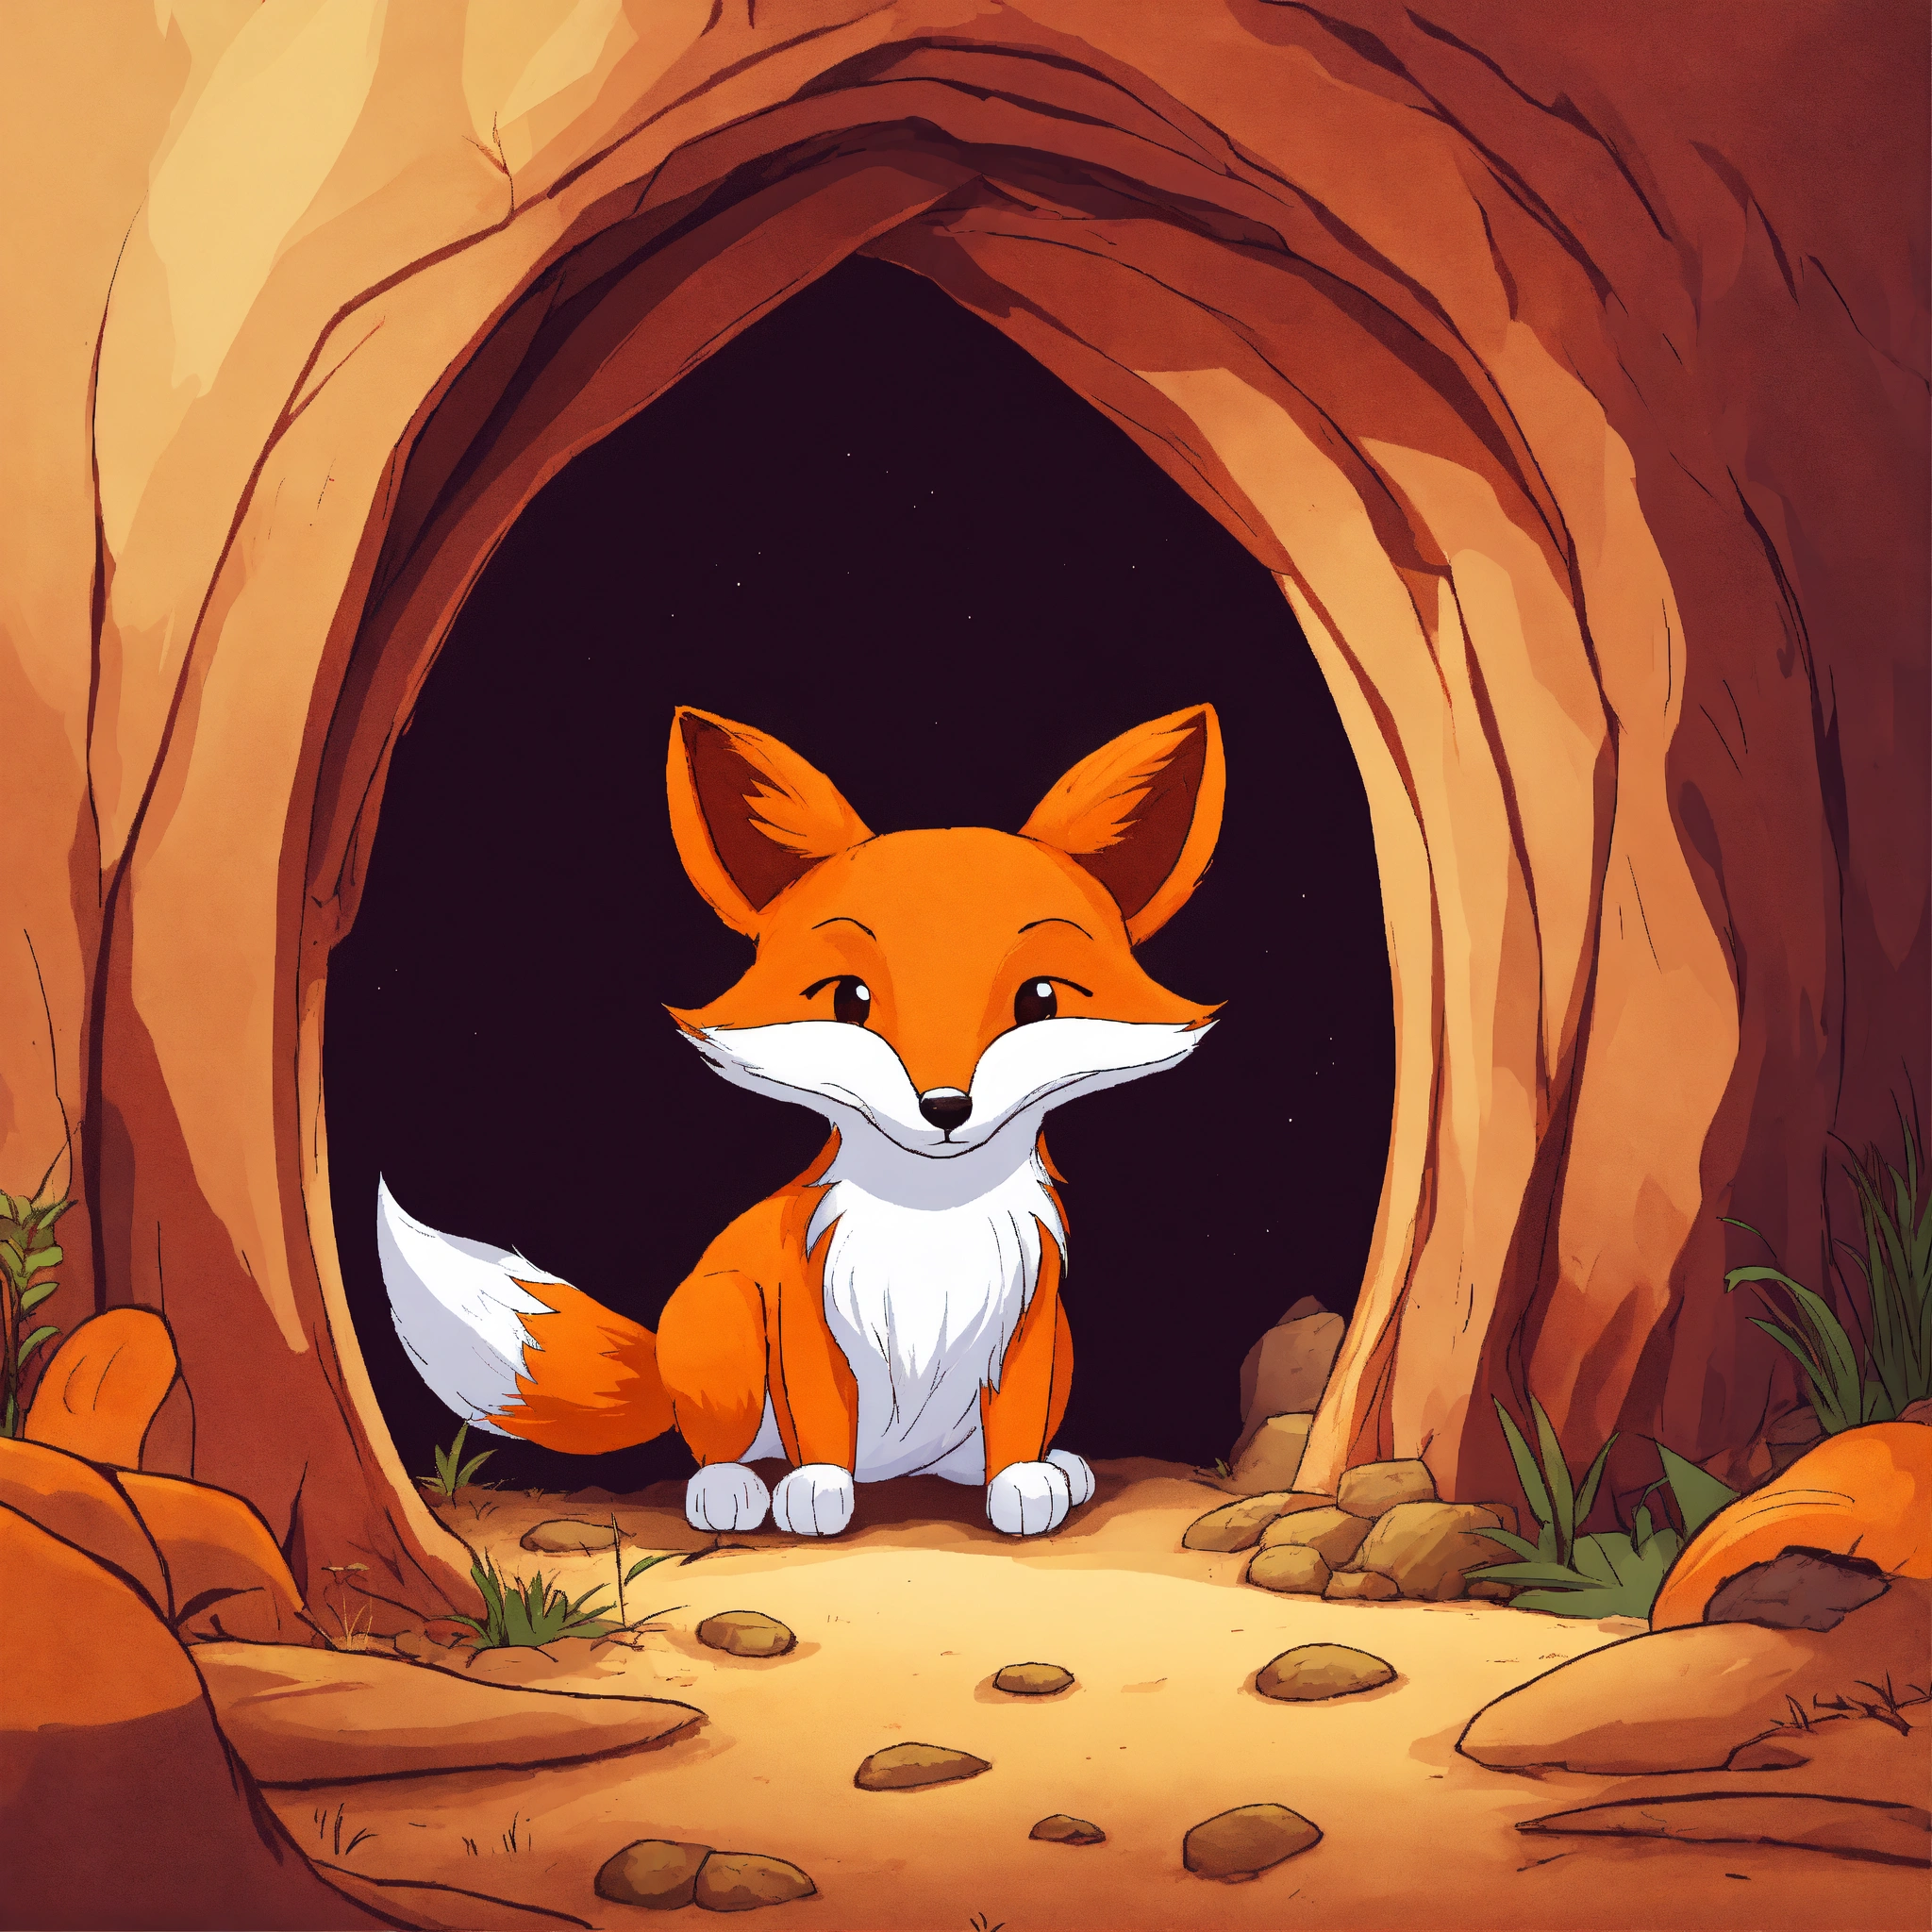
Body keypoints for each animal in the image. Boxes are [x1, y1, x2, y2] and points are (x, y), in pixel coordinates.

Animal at [379, 703, 1223, 1537]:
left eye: (1040, 999)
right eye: (850, 999)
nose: (946, 1107)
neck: (932, 1222)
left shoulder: (1032, 1312)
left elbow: (1016, 1411)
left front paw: (1020, 1479)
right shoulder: (803, 1306)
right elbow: (818, 1415)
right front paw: (817, 1489)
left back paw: (1045, 1467)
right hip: (717, 1315)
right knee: (717, 1444)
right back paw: (731, 1489)